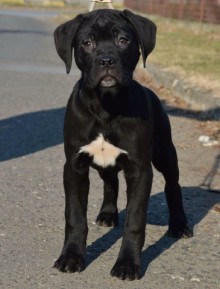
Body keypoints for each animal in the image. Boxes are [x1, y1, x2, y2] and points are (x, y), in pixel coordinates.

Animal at [53, 8, 192, 280]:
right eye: (87, 43)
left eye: (123, 40)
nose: (107, 61)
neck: (106, 106)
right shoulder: (74, 167)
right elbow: (74, 216)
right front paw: (71, 257)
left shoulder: (140, 170)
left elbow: (135, 221)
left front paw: (127, 264)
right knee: (111, 182)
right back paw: (108, 214)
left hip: (165, 152)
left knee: (173, 186)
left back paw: (179, 225)